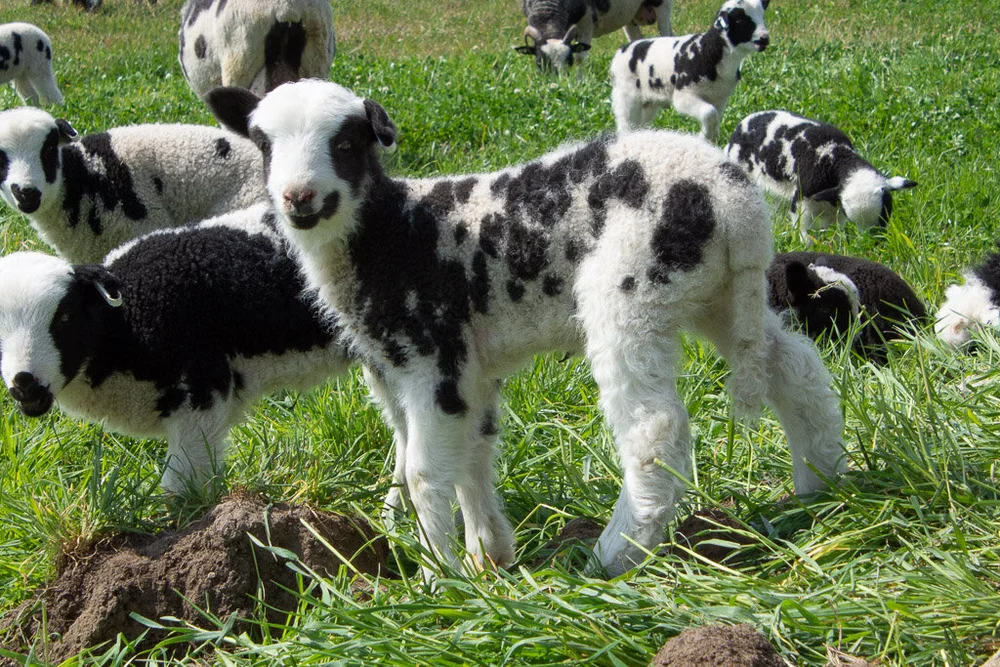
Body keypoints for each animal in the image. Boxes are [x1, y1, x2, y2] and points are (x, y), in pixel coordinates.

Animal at [206, 79, 847, 579]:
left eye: (345, 142)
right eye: (263, 144)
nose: (299, 198)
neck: (392, 235)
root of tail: (734, 199)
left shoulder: (433, 358)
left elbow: (421, 474)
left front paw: (439, 578)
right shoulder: (452, 372)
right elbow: (472, 453)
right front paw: (488, 556)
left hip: (631, 291)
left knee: (654, 430)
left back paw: (612, 556)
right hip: (715, 292)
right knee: (796, 370)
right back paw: (820, 484)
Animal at [516, 0, 673, 74]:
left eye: (569, 61)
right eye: (539, 63)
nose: (557, 84)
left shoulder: (586, 21)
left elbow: (580, 58)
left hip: (662, 5)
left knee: (668, 36)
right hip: (630, 16)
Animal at [610, 0, 769, 141]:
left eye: (762, 16)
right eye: (741, 21)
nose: (765, 39)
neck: (709, 51)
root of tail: (620, 52)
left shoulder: (720, 98)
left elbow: (715, 120)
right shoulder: (684, 96)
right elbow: (709, 113)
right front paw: (702, 137)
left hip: (648, 103)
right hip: (626, 98)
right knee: (626, 127)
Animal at [726, 110, 918, 243]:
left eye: (885, 215)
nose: (873, 242)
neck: (835, 156)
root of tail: (743, 124)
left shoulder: (835, 201)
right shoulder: (802, 196)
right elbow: (802, 226)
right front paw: (806, 244)